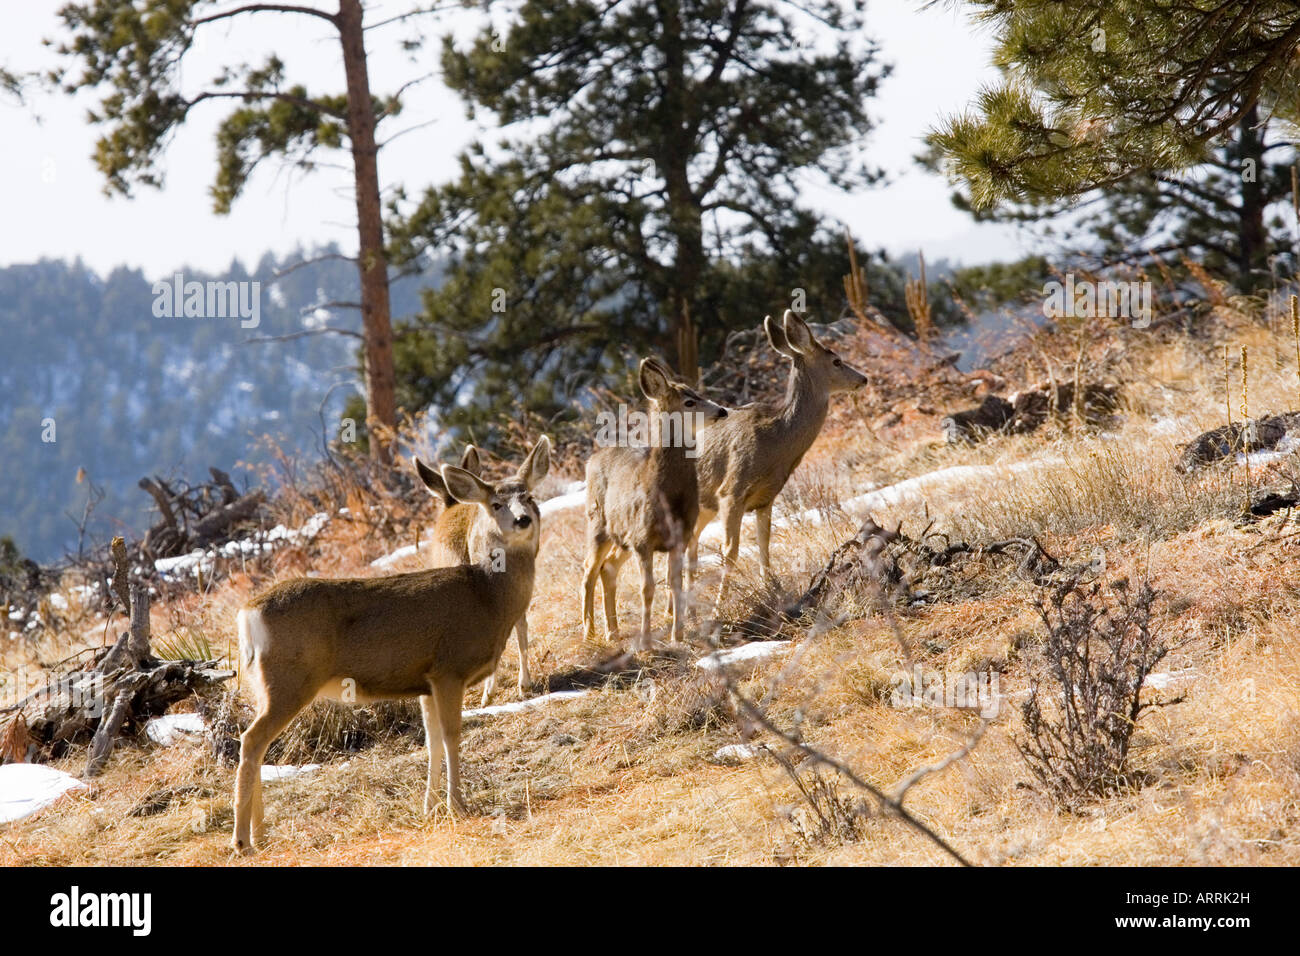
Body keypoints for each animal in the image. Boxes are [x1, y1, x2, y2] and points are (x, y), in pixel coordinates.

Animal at [582, 358, 728, 649]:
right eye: (689, 402)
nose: (722, 410)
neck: (667, 494)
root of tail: (591, 461)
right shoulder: (642, 539)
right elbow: (647, 588)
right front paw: (647, 642)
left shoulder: (680, 537)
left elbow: (675, 584)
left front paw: (677, 636)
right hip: (598, 525)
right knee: (588, 571)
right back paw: (589, 633)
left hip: (621, 538)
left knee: (608, 568)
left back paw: (612, 632)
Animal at [688, 310, 868, 609]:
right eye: (836, 361)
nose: (863, 379)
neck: (776, 441)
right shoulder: (731, 490)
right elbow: (731, 551)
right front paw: (719, 608)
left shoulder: (766, 497)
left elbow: (764, 543)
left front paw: (774, 590)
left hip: (702, 509)